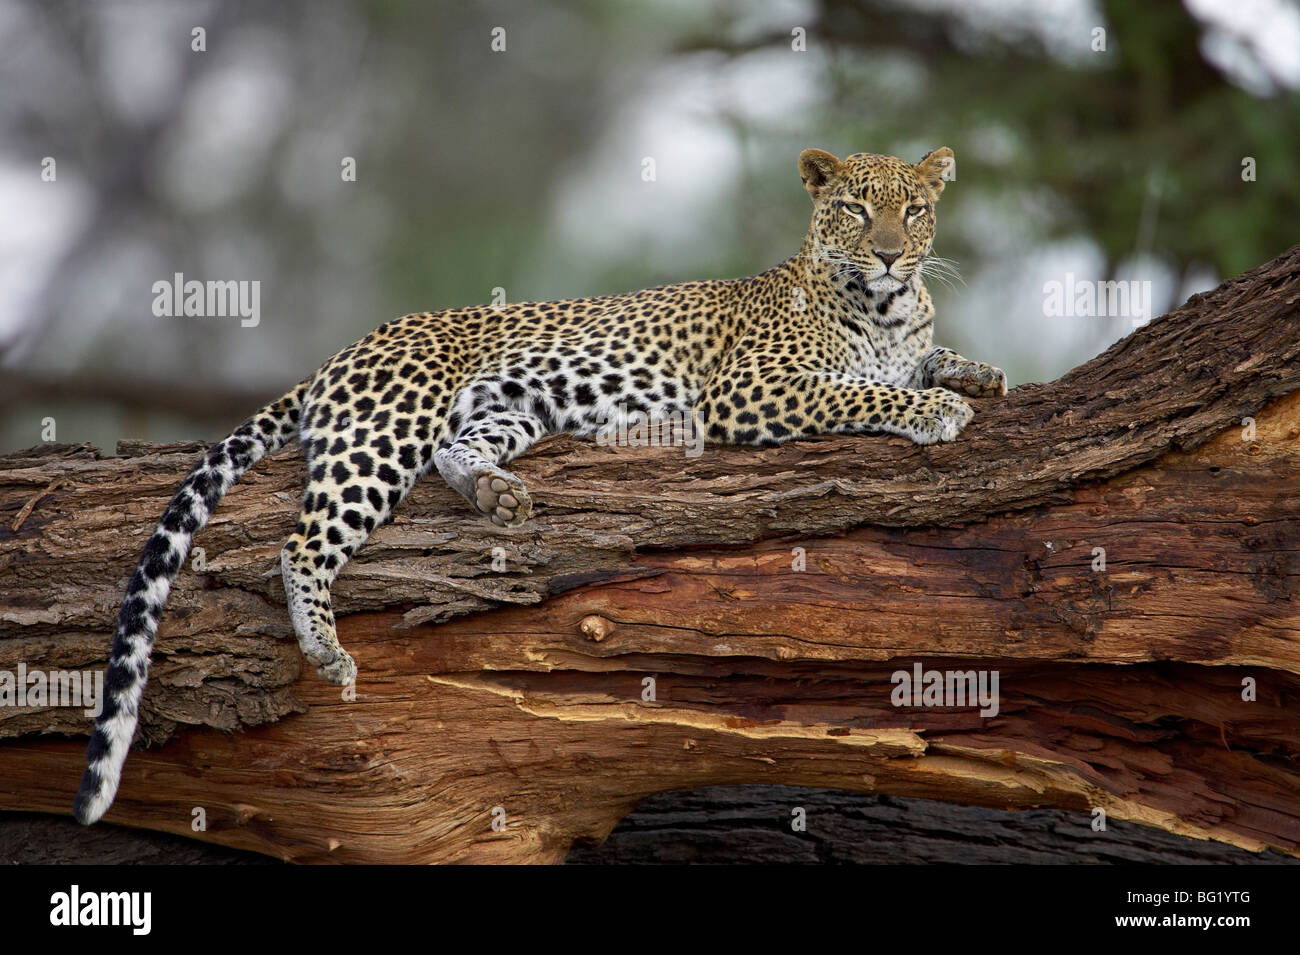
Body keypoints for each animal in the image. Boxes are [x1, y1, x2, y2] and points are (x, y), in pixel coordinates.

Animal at [74, 145, 1006, 824]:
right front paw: (935, 408)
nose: (890, 254)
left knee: (458, 453)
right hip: (388, 427)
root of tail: (346, 349)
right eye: (856, 208)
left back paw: (500, 496)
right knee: (304, 538)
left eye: (914, 209)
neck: (887, 310)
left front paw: (978, 372)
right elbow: (863, 390)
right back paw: (327, 645)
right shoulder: (754, 389)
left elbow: (928, 357)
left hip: (512, 409)